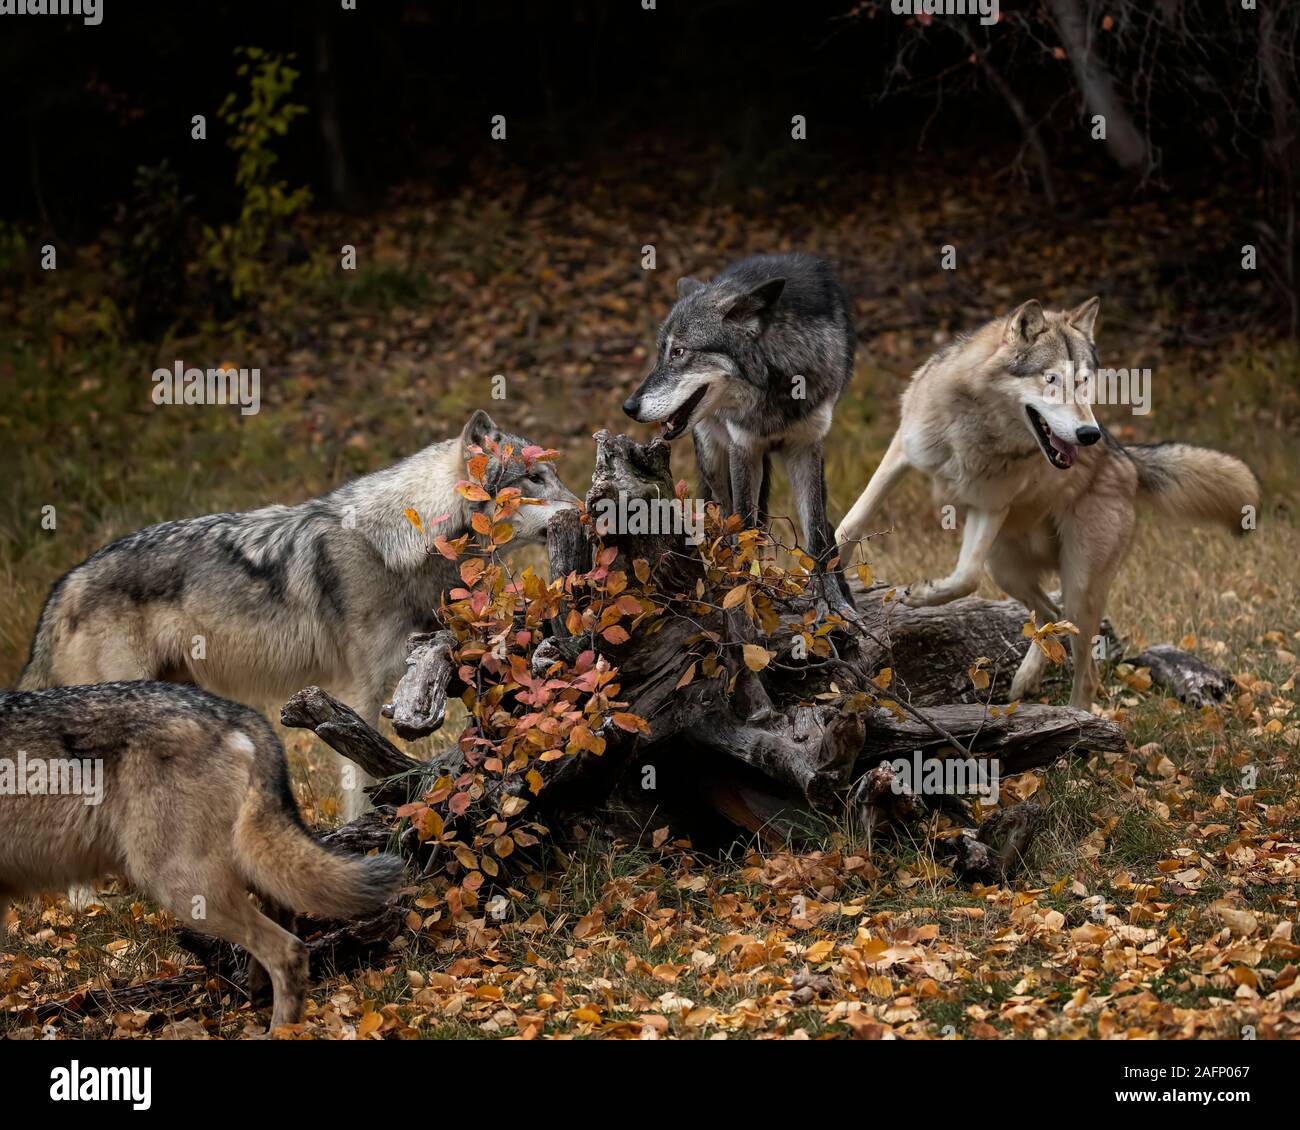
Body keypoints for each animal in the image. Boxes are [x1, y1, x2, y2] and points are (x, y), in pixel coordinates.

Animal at [0, 681, 403, 1029]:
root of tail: (238, 711)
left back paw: (280, 1029)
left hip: (182, 887)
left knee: (289, 949)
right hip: (235, 862)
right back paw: (261, 993)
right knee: (284, 912)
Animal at [19, 409, 580, 823]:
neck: (403, 545)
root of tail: (63, 586)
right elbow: (361, 779)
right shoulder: (359, 691)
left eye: (554, 474)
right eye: (534, 478)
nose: (584, 509)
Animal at [622, 254, 857, 610]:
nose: (629, 406)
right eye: (662, 353)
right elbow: (743, 526)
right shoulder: (743, 448)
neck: (776, 385)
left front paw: (834, 609)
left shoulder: (807, 447)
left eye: (679, 352)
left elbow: (816, 534)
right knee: (724, 516)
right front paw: (749, 594)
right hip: (713, 458)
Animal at [834, 297, 1259, 709]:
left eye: (1084, 382)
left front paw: (921, 594)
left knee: (1086, 671)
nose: (1088, 434)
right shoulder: (903, 453)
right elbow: (852, 524)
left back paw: (1076, 722)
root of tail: (1124, 457)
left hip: (1078, 587)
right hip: (1007, 568)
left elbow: (965, 578)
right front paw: (830, 575)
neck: (978, 430)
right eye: (1051, 380)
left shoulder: (991, 505)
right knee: (1049, 615)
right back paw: (1026, 681)